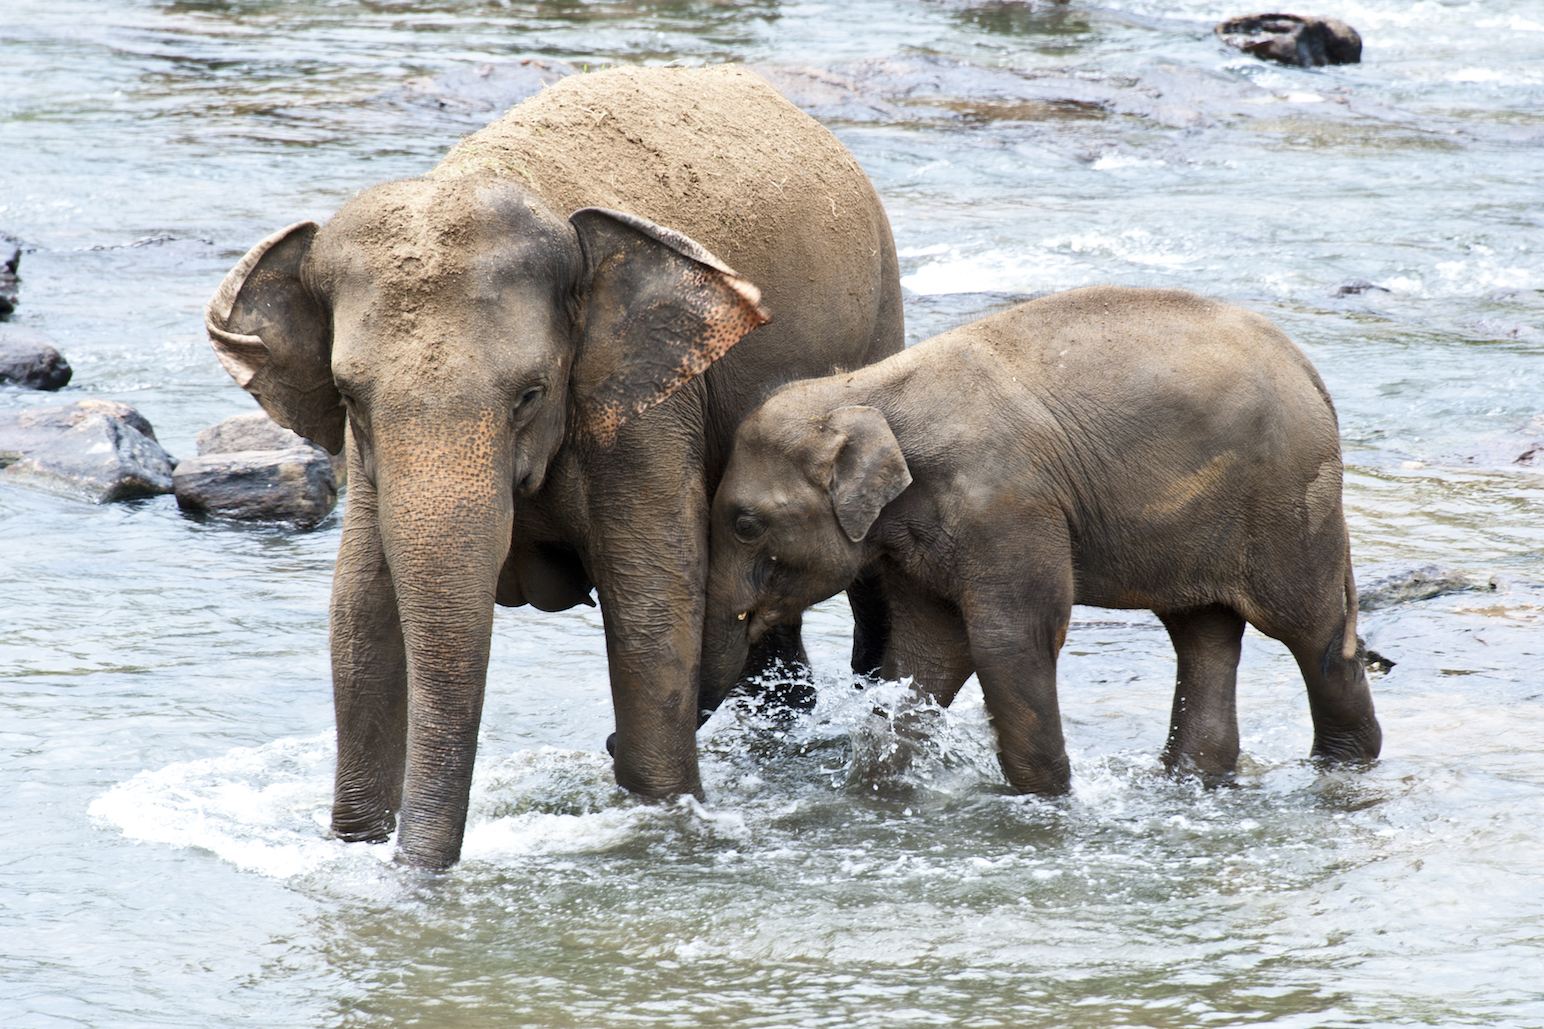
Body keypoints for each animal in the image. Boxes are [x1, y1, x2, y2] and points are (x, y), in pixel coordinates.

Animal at [204, 65, 903, 868]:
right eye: (349, 396)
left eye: (532, 394)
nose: (417, 867)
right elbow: (359, 614)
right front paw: (355, 843)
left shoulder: (646, 410)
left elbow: (654, 606)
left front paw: (664, 815)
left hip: (881, 324)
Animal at [701, 286, 1382, 794]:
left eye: (745, 525)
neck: (867, 389)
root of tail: (1308, 370)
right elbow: (928, 651)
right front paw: (882, 784)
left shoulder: (1007, 505)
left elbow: (1010, 639)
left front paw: (1047, 800)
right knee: (1203, 631)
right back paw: (1192, 778)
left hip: (1292, 502)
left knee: (1312, 632)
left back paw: (1344, 764)